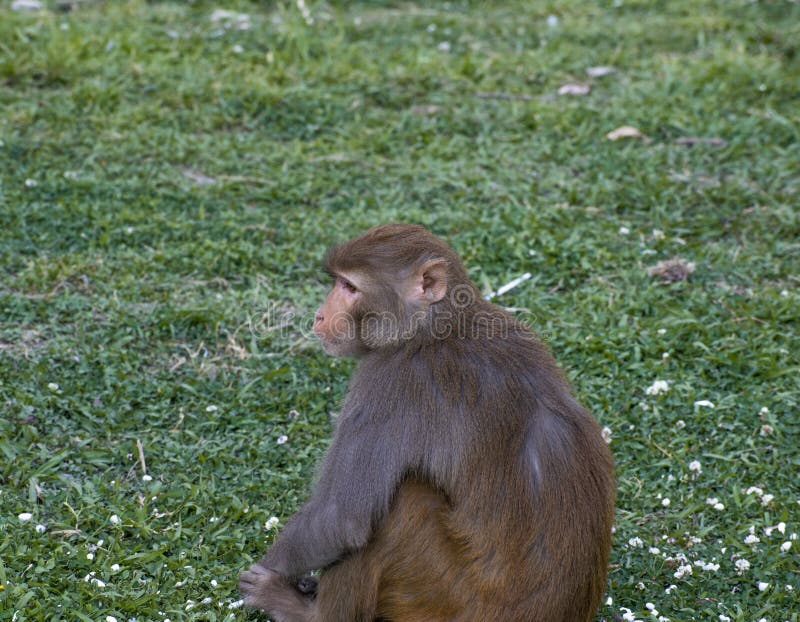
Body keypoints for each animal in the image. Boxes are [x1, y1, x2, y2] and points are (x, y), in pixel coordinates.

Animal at [239, 223, 615, 622]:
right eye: (337, 282)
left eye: (350, 287)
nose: (319, 316)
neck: (435, 324)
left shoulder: (389, 381)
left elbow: (341, 518)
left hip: (441, 594)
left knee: (403, 502)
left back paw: (305, 611)